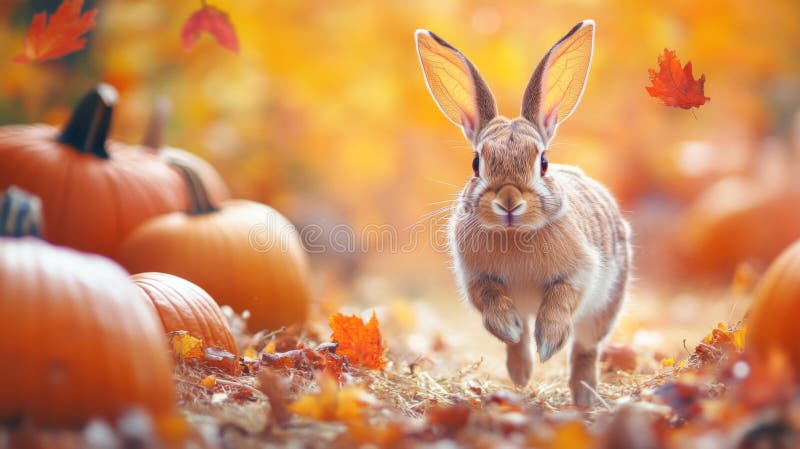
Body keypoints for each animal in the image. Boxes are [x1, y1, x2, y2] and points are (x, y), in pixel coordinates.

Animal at [415, 20, 631, 406]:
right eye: (476, 163)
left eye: (542, 162)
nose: (509, 200)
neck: (515, 234)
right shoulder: (475, 277)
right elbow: (492, 304)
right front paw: (509, 326)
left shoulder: (582, 274)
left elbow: (561, 299)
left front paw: (549, 342)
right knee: (521, 342)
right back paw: (521, 374)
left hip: (606, 306)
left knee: (586, 348)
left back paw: (583, 396)